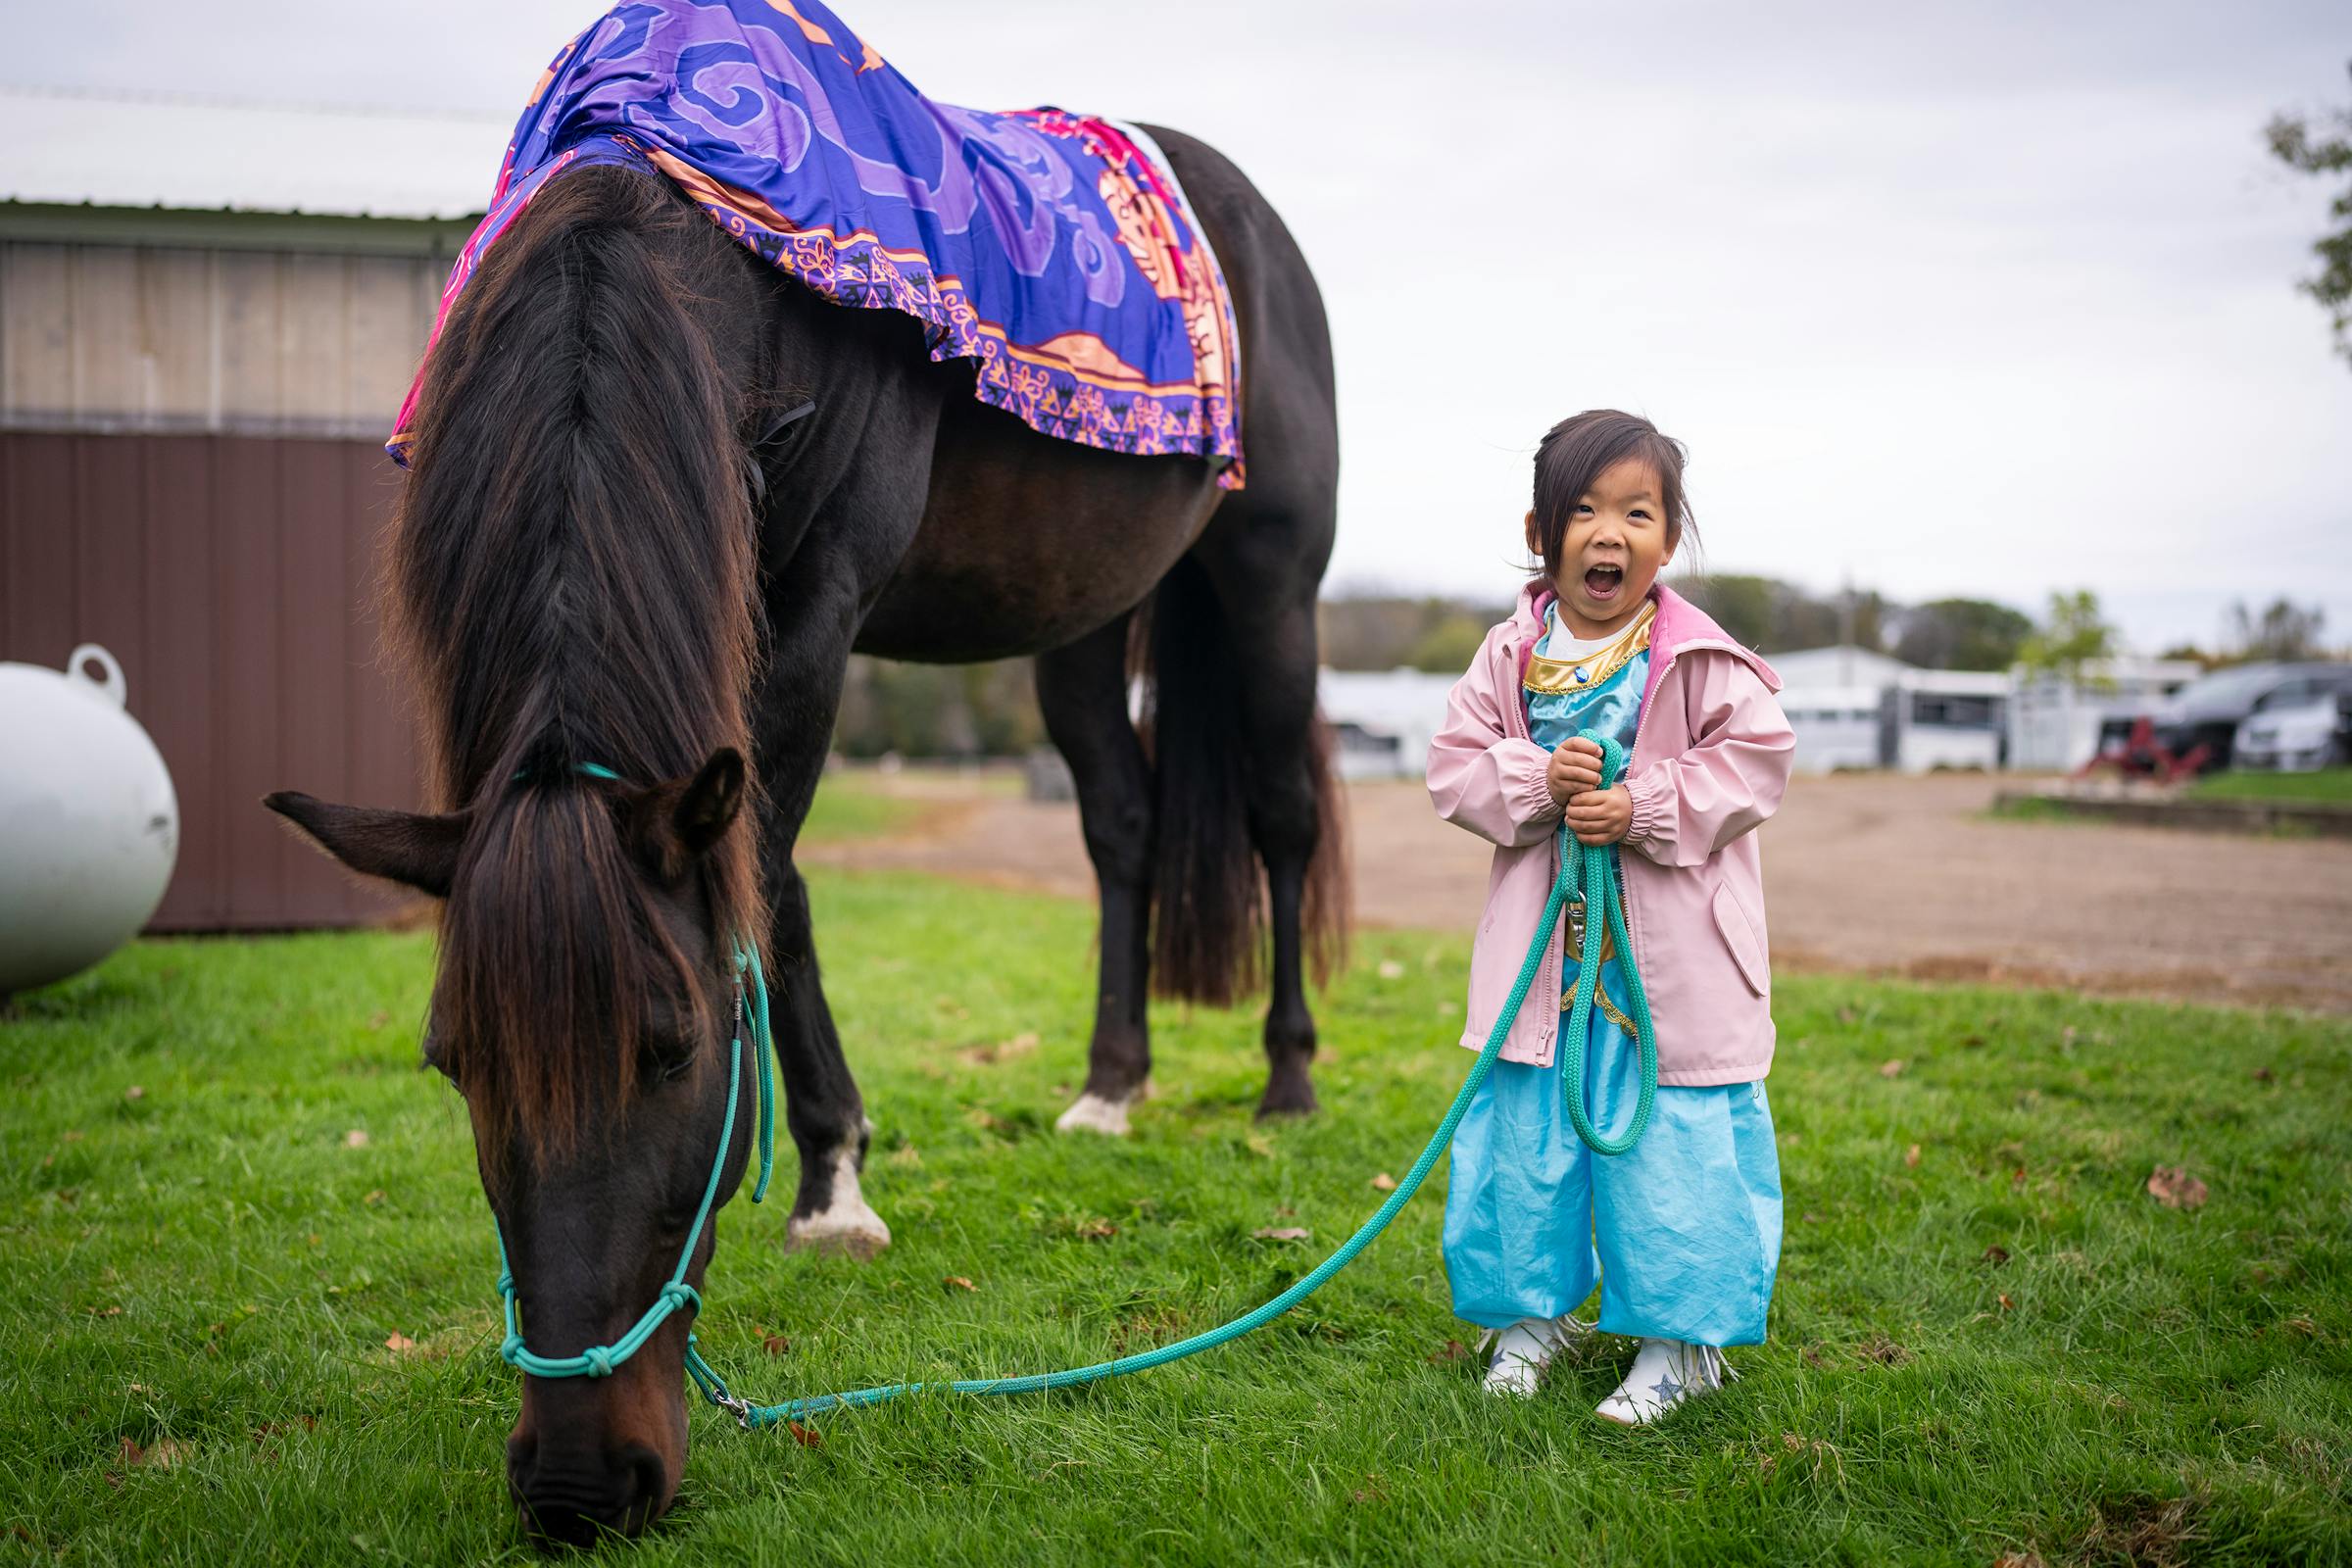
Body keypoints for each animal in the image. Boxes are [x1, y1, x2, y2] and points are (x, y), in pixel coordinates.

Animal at [263, 125, 1342, 1541]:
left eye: (672, 1049)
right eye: (452, 1059)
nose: (576, 1486)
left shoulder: (813, 617)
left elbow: (763, 882)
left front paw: (834, 1185)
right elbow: (775, 895)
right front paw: (836, 1163)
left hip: (1271, 585)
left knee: (1280, 818)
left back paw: (1287, 1080)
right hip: (1083, 614)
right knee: (1122, 827)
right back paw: (1111, 1083)